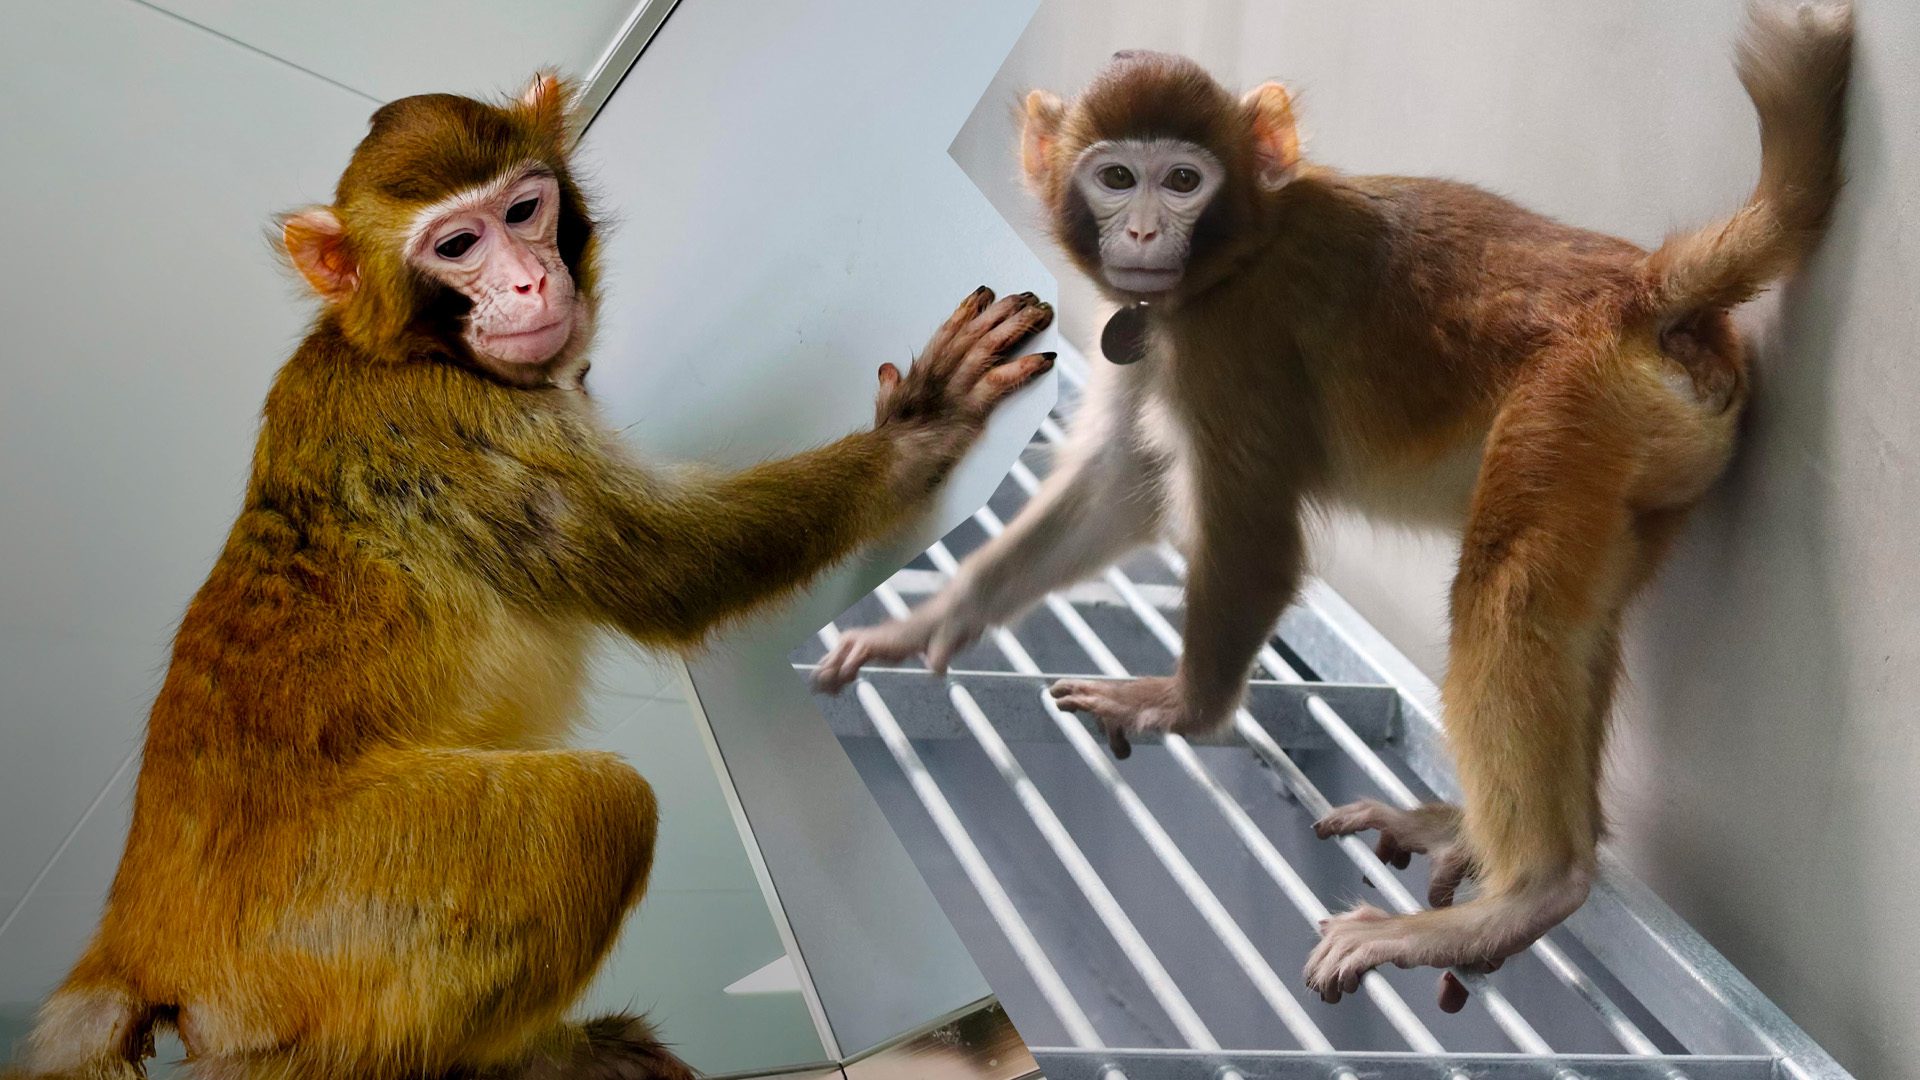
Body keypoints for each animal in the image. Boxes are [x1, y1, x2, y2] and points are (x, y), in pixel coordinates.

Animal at [4, 73, 1054, 1080]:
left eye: (524, 209)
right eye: (458, 243)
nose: (527, 276)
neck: (402, 348)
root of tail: (136, 943)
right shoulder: (447, 422)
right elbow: (673, 569)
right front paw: (916, 428)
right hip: (315, 920)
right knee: (599, 809)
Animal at [815, 4, 1850, 1013]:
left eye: (1182, 180)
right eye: (1115, 177)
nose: (1143, 234)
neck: (1236, 251)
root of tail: (1643, 292)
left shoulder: (1234, 341)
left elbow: (1255, 538)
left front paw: (1185, 707)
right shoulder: (1159, 332)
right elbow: (1120, 485)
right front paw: (927, 624)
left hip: (1572, 403)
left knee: (1507, 593)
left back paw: (1528, 890)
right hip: (1644, 456)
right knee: (1573, 615)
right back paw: (1488, 836)